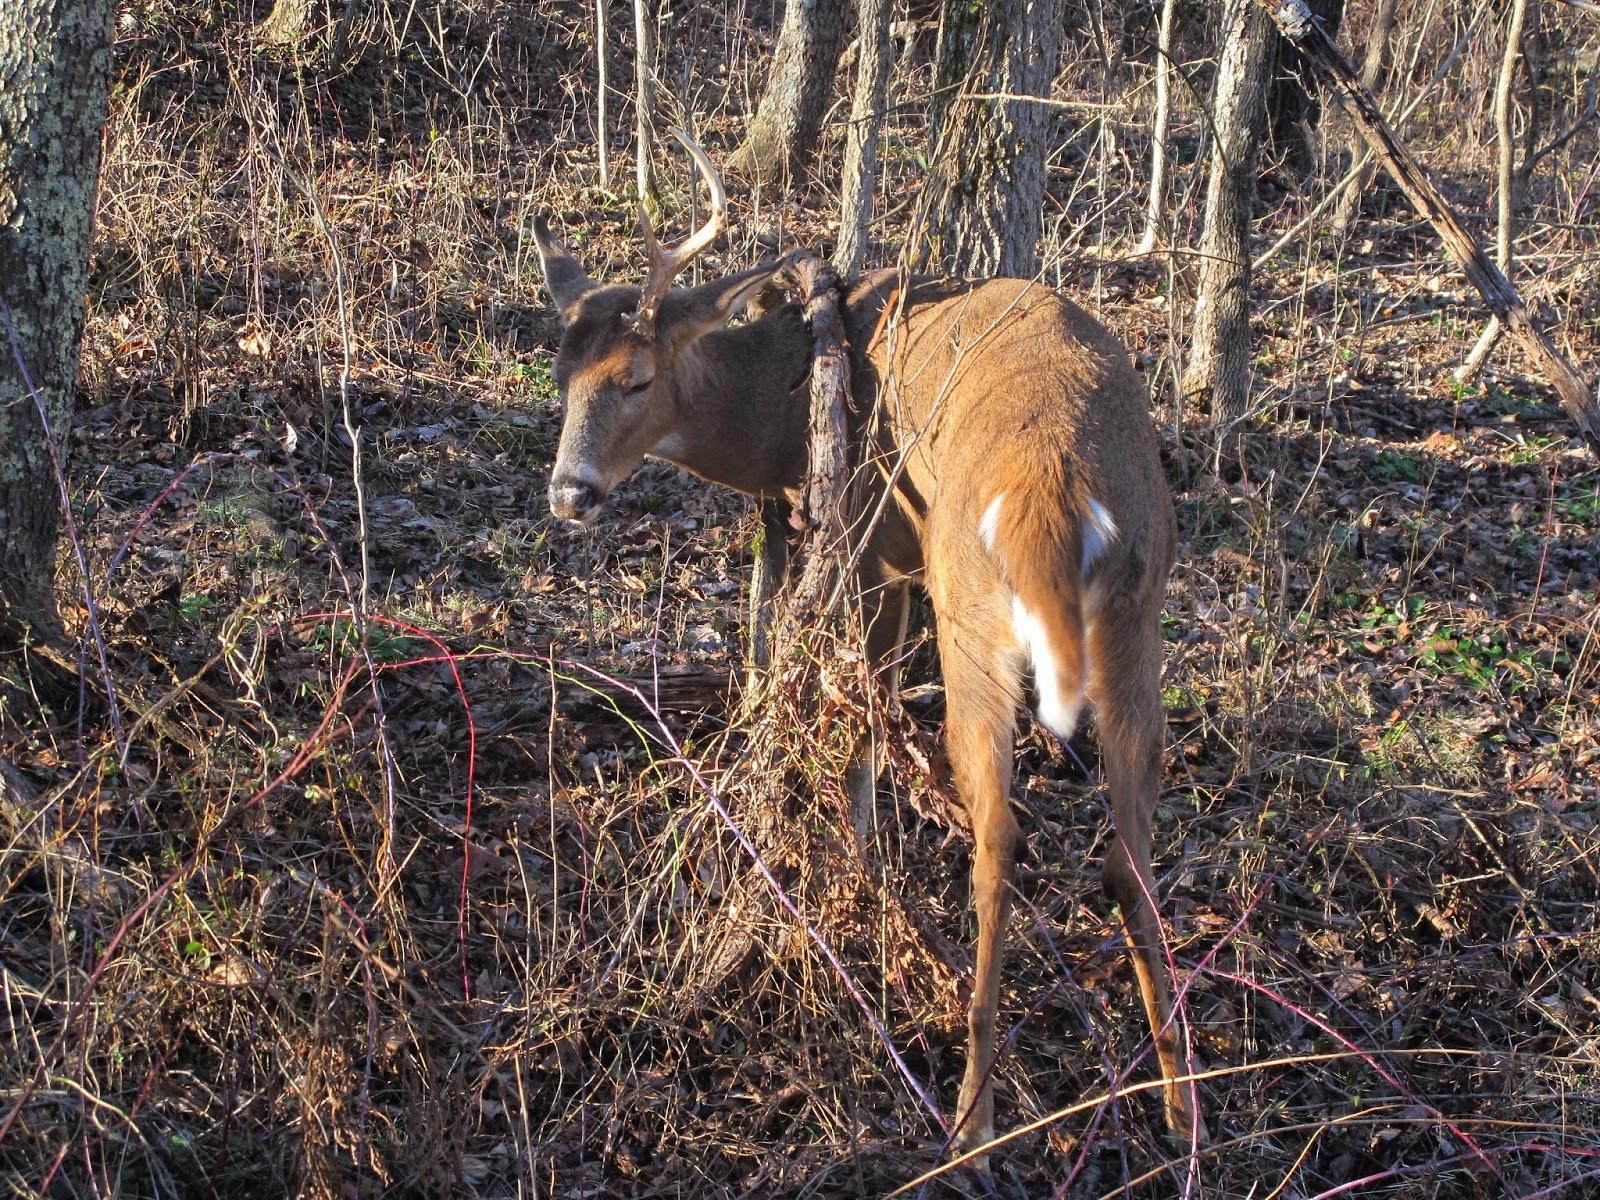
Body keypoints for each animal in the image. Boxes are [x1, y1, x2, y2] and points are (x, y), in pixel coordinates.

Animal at [531, 131, 1206, 1159]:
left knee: (998, 836)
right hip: (1138, 617)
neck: (777, 414)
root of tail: (1056, 502)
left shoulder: (877, 539)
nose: (570, 494)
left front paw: (850, 871)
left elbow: (858, 711)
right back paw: (1179, 1103)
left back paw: (972, 1113)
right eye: (562, 378)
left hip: (972, 609)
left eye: (636, 379)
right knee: (1128, 857)